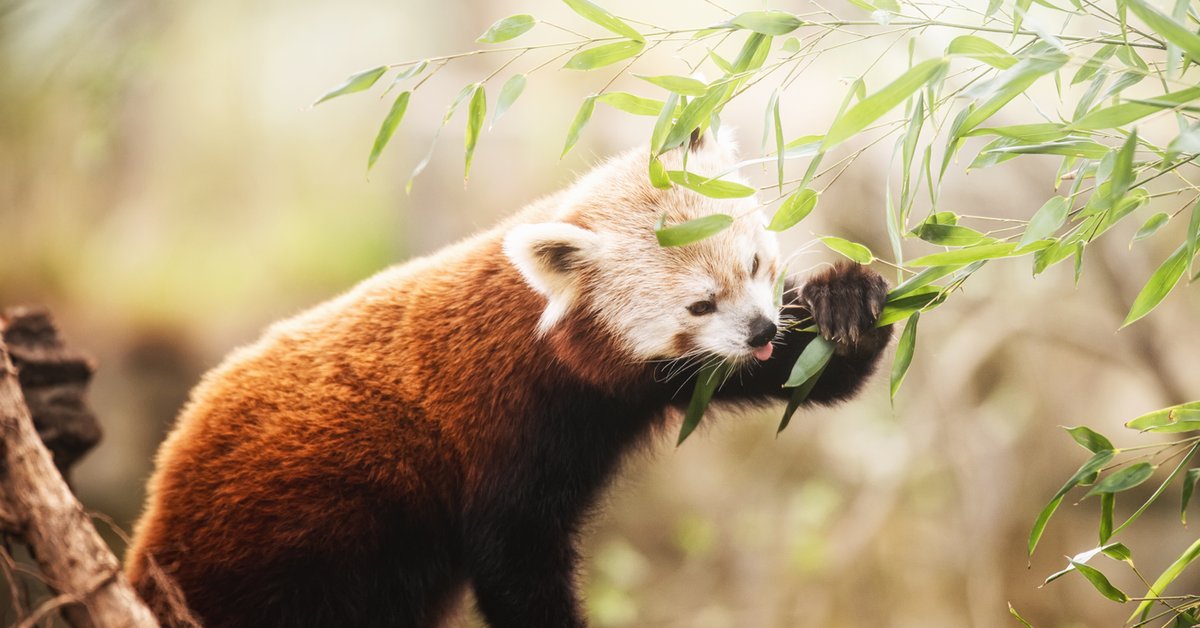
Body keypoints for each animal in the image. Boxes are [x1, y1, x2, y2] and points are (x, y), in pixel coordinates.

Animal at [125, 131, 892, 627]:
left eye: (758, 264)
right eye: (699, 305)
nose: (761, 331)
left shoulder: (648, 383)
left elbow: (804, 375)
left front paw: (843, 305)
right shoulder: (502, 425)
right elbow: (512, 561)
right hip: (294, 546)